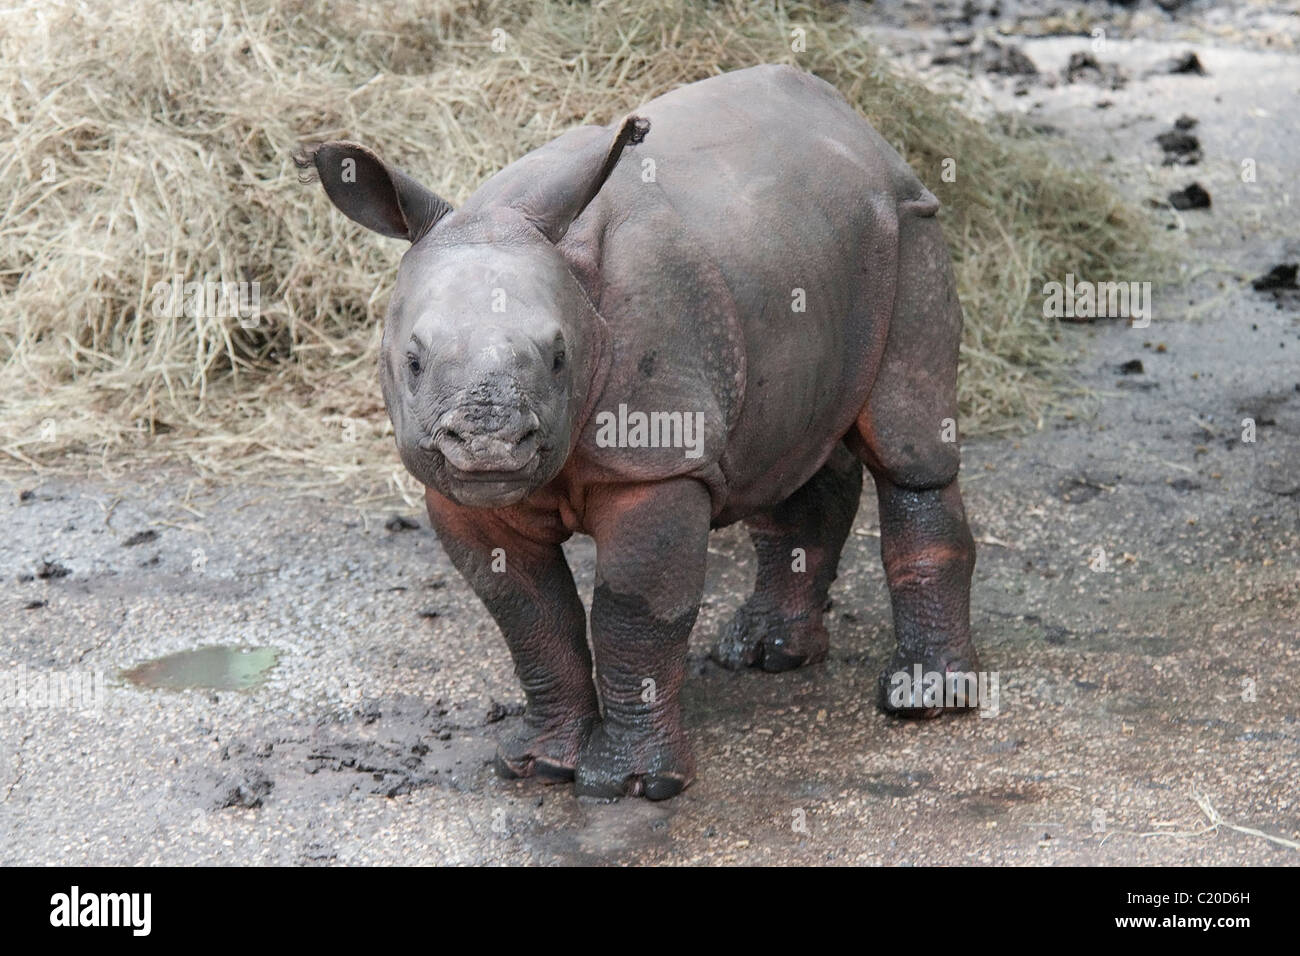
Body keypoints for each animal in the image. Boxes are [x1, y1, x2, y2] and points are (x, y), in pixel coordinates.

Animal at [299, 64, 981, 800]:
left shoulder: (657, 463)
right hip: (799, 252)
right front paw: (537, 766)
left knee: (908, 449)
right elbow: (530, 616)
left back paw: (924, 701)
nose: (489, 444)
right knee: (783, 452)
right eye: (414, 362)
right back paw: (763, 655)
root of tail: (861, 128)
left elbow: (635, 612)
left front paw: (631, 785)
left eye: (559, 356)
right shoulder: (457, 495)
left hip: (909, 227)